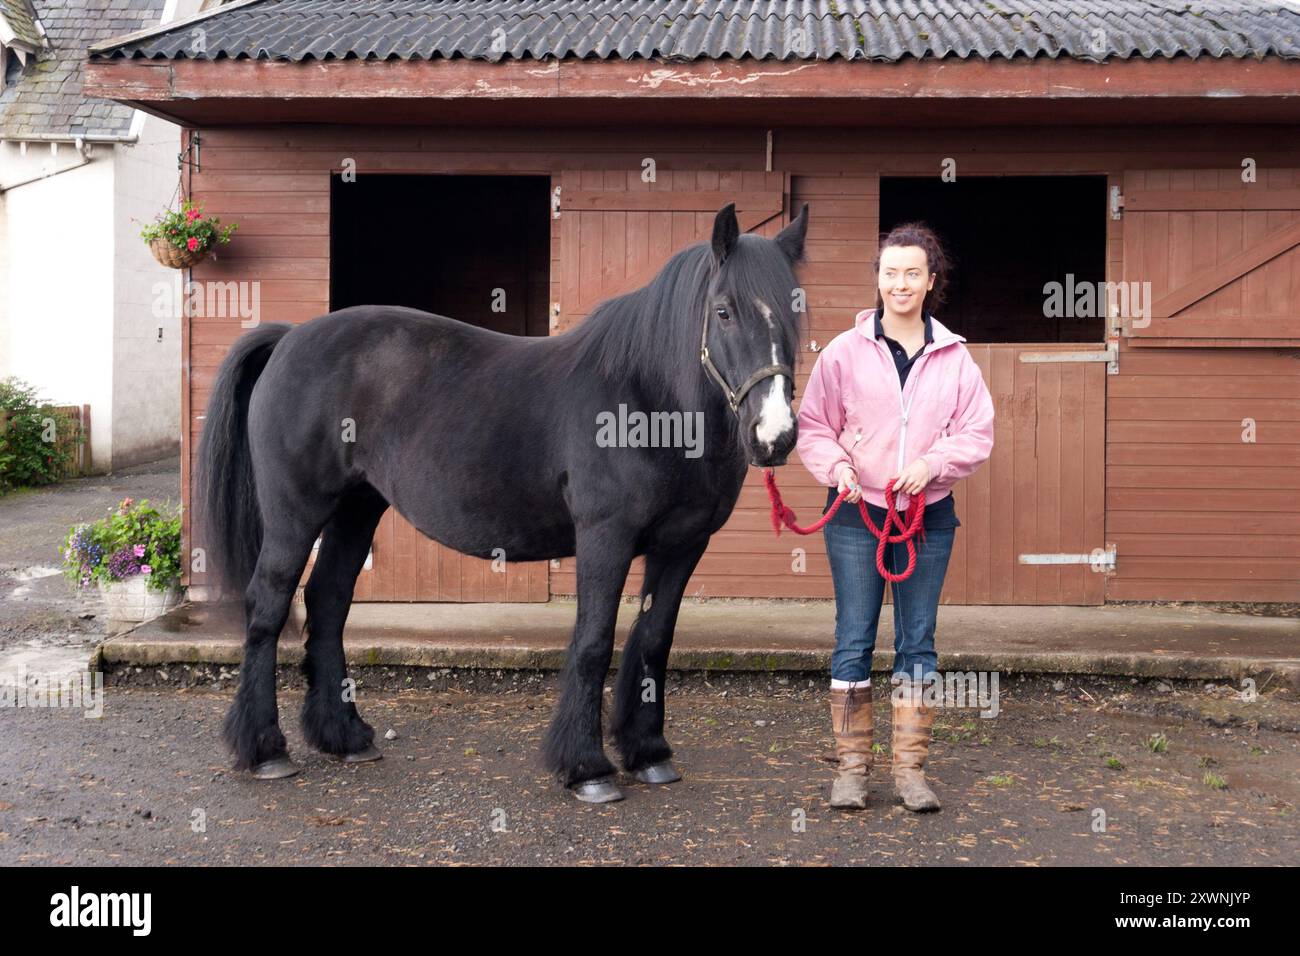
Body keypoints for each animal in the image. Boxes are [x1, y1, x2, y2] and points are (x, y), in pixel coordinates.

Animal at [196, 202, 808, 802]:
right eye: (724, 311)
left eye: (794, 311)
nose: (774, 436)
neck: (646, 397)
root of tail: (290, 338)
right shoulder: (604, 537)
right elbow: (594, 642)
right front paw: (588, 769)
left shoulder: (682, 544)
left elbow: (655, 640)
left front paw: (649, 753)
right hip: (295, 514)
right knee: (269, 606)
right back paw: (266, 750)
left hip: (356, 509)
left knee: (327, 602)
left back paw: (344, 736)